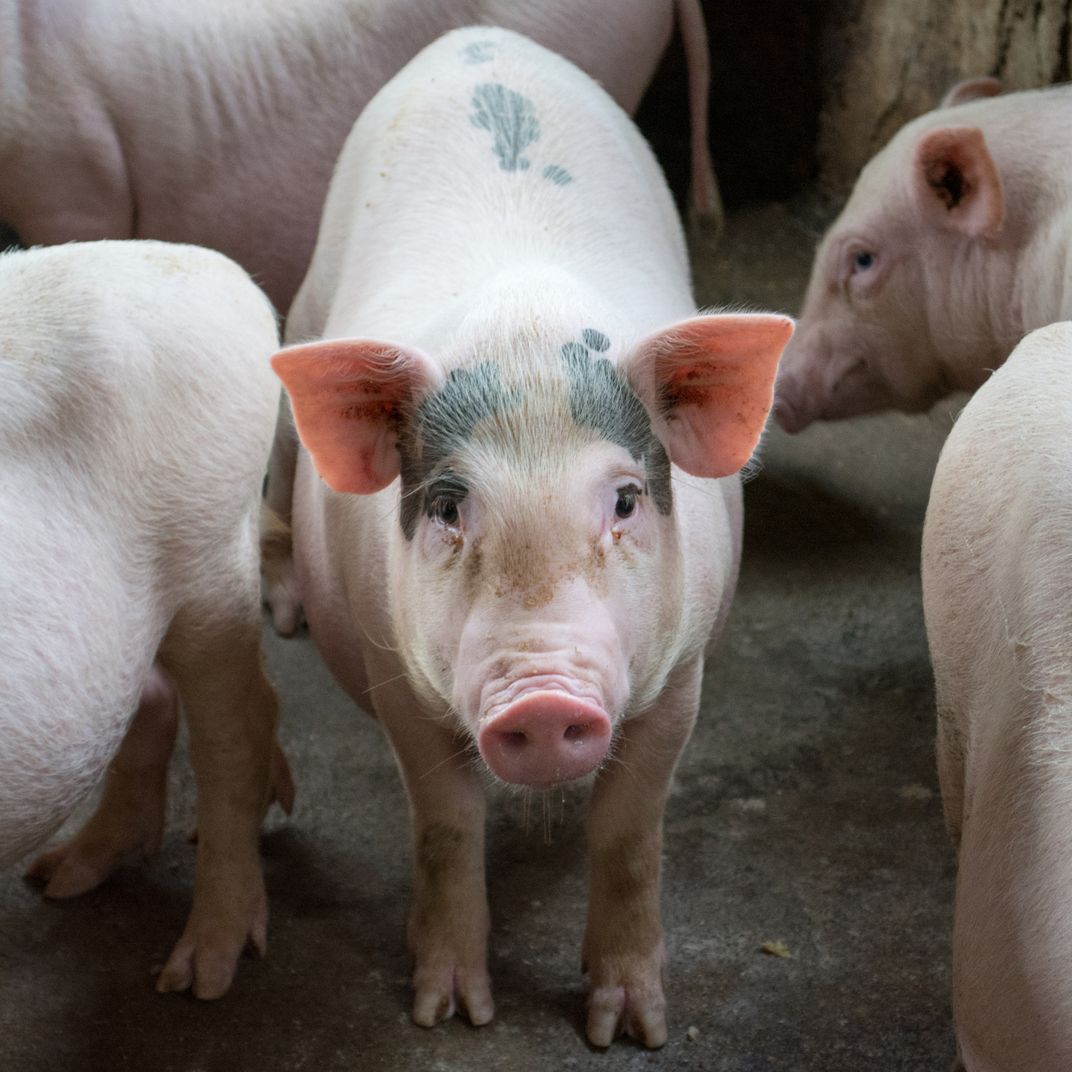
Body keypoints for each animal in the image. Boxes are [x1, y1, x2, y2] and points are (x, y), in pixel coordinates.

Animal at [0, 240, 290, 999]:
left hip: (210, 555)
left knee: (238, 726)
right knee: (145, 698)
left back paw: (198, 978)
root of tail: (229, 277)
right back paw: (58, 876)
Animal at [271, 27, 792, 1047]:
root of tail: (479, 39)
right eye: (446, 507)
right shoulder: (396, 672)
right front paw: (447, 1013)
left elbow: (629, 836)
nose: (542, 697)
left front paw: (629, 1031)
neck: (524, 339)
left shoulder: (681, 675)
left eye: (624, 501)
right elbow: (445, 825)